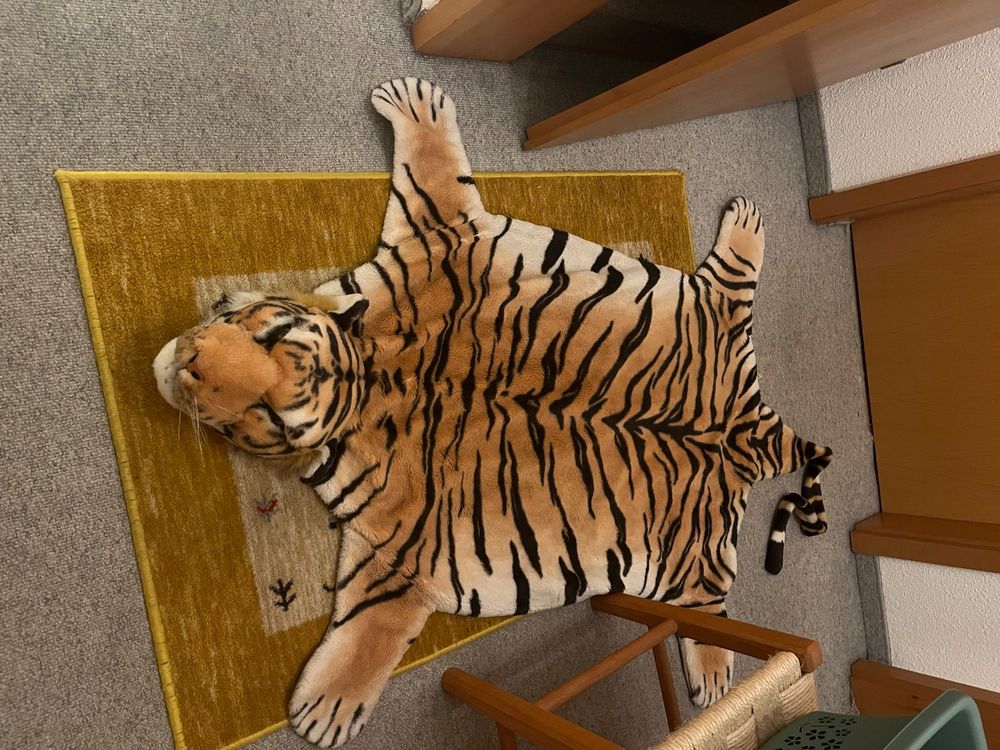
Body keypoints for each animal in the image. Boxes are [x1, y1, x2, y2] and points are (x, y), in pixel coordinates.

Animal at [152, 77, 832, 748]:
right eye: (268, 338)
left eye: (268, 407)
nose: (186, 363)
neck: (368, 375)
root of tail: (755, 432)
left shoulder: (407, 550)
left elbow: (374, 628)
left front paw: (324, 712)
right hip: (709, 335)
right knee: (725, 291)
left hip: (697, 556)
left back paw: (715, 681)